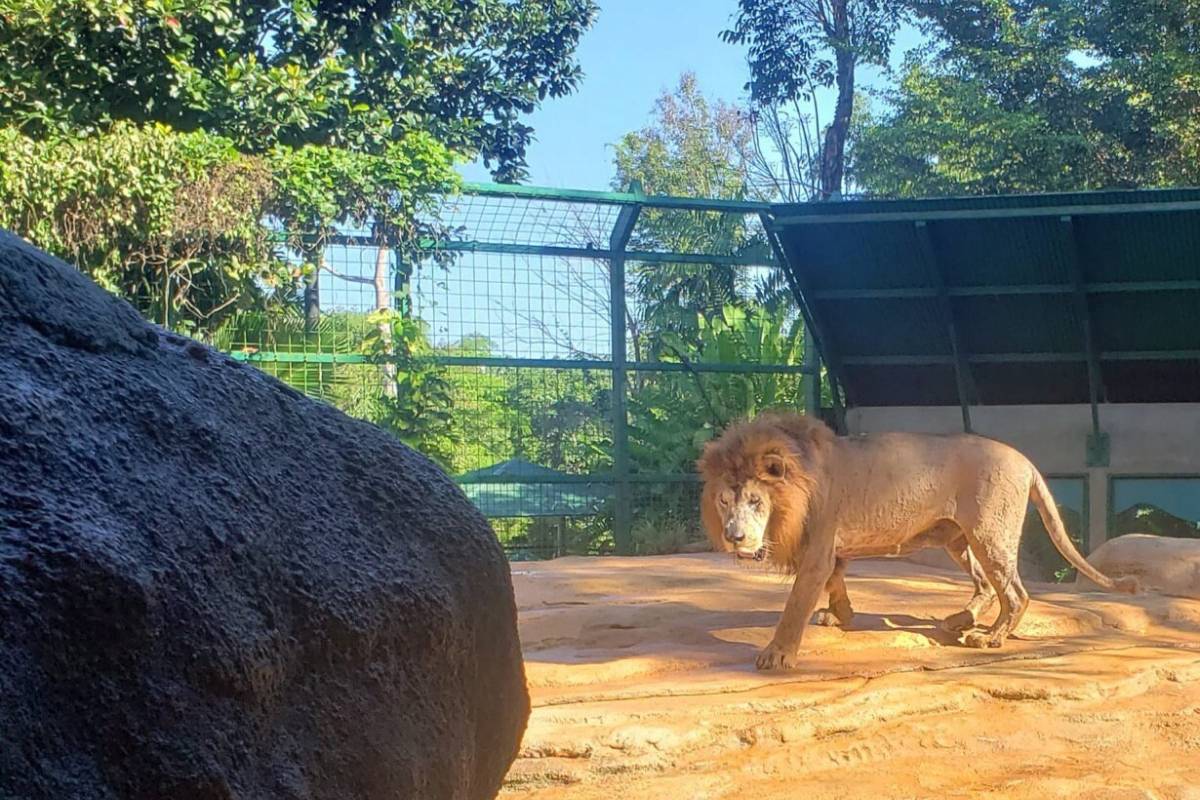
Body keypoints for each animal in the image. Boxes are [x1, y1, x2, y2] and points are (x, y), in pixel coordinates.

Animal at [698, 412, 1137, 671]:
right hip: (958, 539)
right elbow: (837, 581)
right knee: (985, 586)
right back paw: (960, 620)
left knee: (1015, 593)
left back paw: (988, 637)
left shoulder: (817, 548)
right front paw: (841, 614)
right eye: (724, 501)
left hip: (988, 534)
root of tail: (1025, 461)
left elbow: (795, 606)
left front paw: (778, 653)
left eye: (756, 501)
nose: (734, 537)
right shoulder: (831, 549)